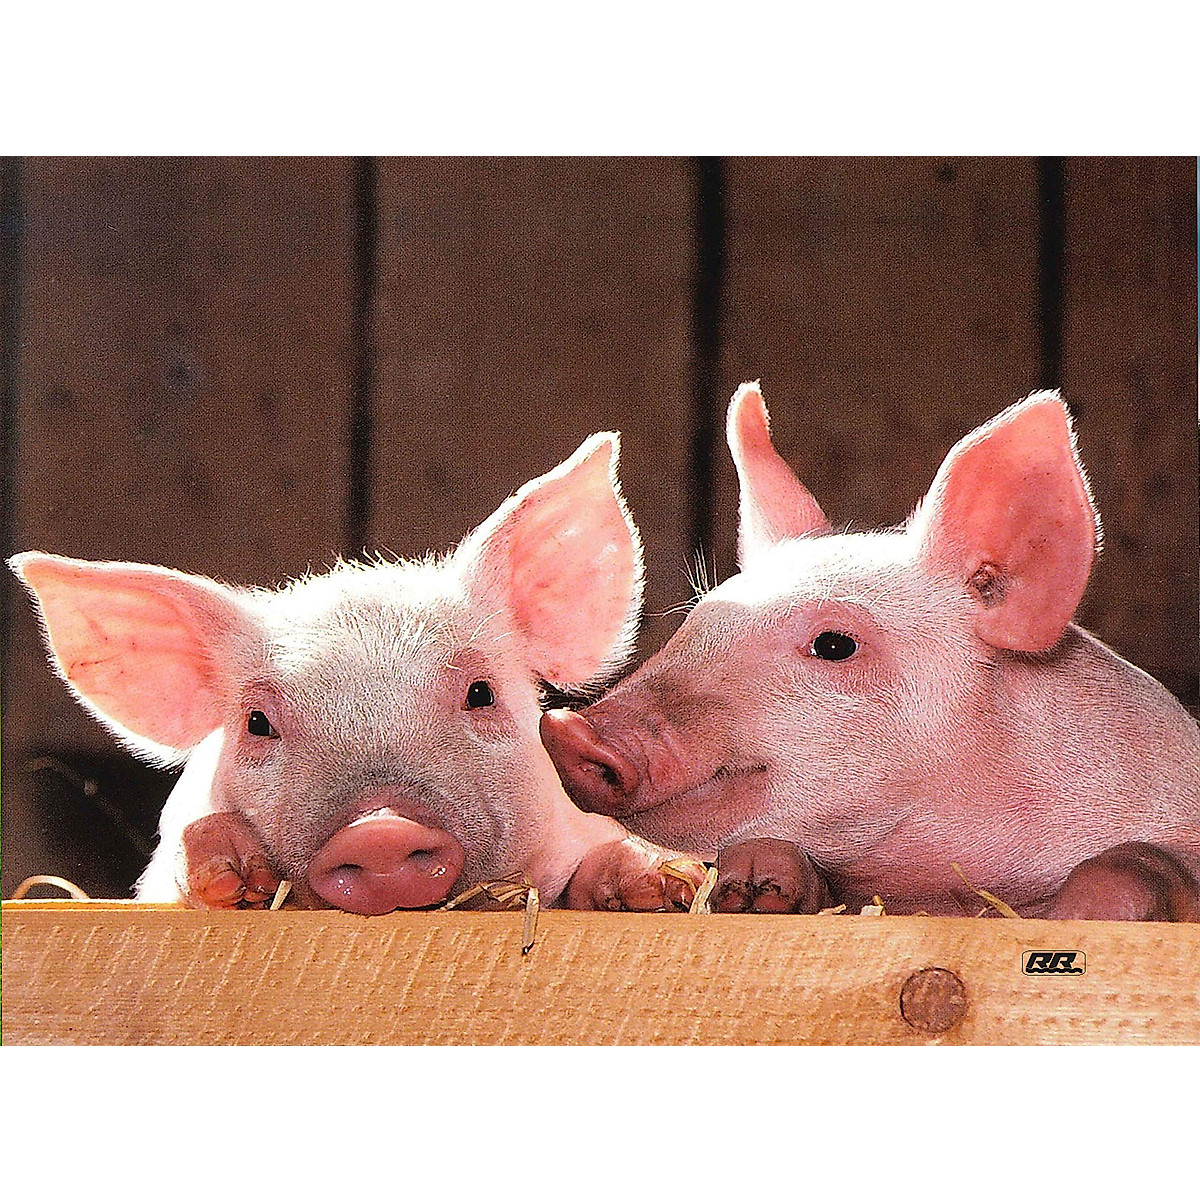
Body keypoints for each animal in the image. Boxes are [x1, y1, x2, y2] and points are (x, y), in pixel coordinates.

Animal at [542, 384, 1200, 921]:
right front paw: (751, 880)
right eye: (699, 621)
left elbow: (1137, 865)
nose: (568, 729)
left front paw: (1082, 915)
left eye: (835, 644)